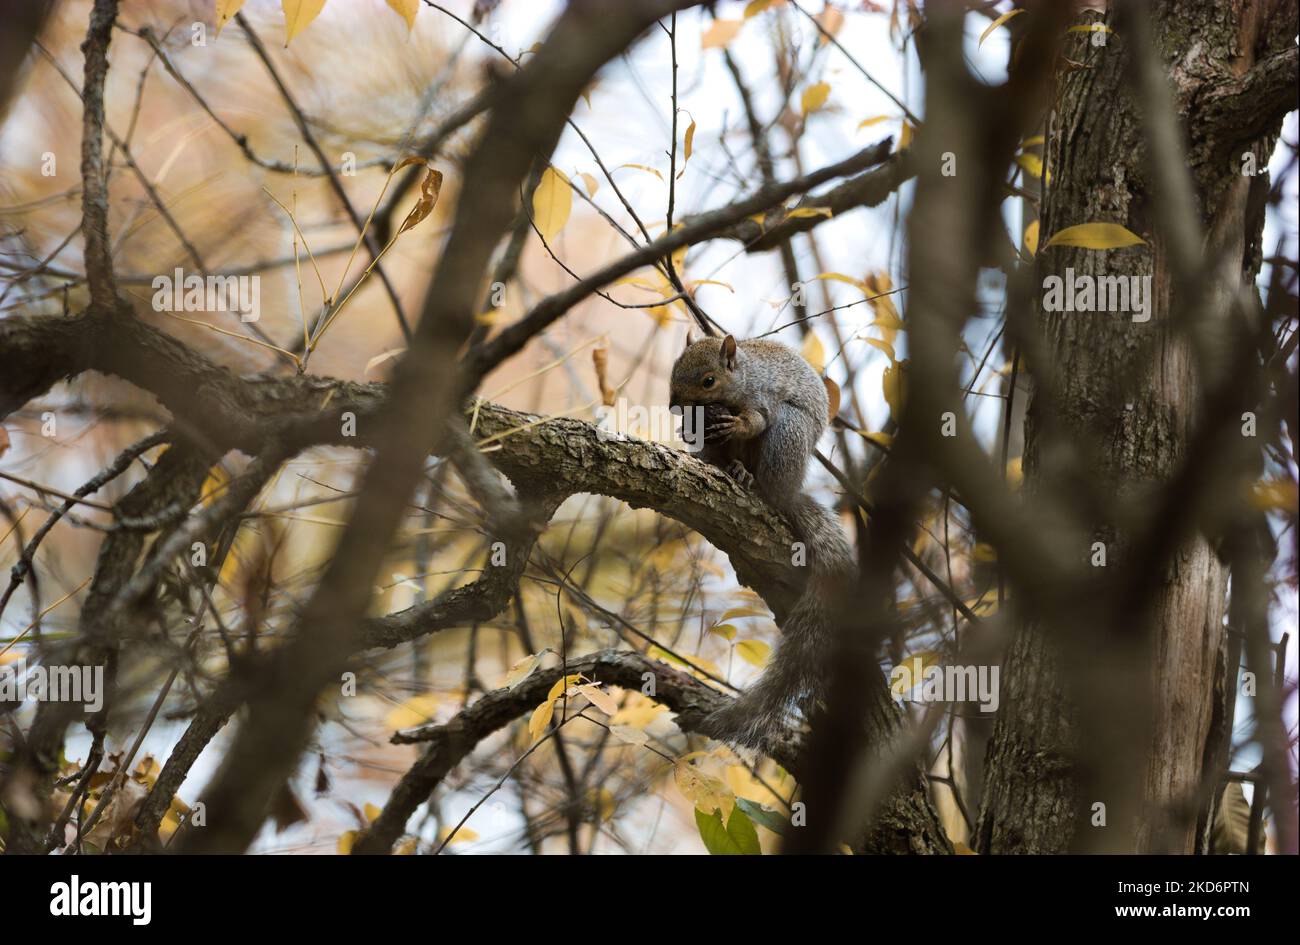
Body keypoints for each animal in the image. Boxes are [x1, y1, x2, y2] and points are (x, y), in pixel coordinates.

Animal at [669, 333, 854, 751]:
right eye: (674, 370)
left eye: (708, 381)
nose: (672, 406)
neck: (738, 382)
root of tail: (789, 492)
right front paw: (686, 430)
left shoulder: (764, 398)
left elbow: (756, 421)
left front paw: (739, 423)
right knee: (718, 457)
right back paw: (728, 467)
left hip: (787, 437)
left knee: (769, 478)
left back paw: (752, 480)